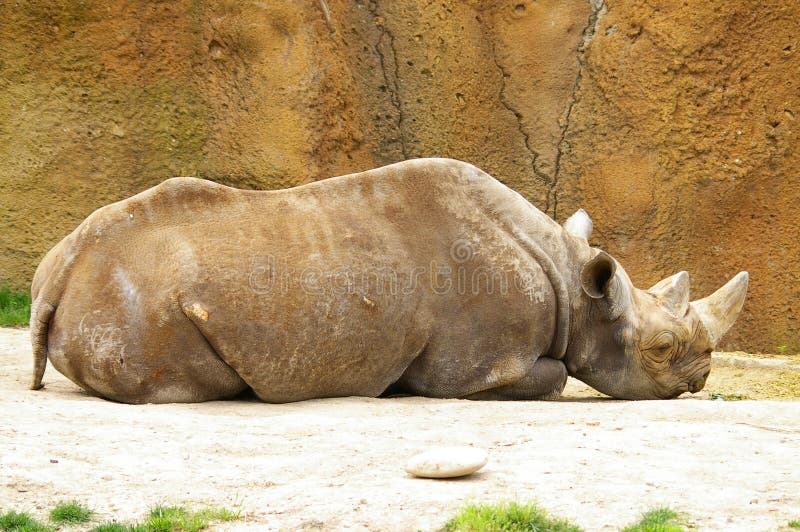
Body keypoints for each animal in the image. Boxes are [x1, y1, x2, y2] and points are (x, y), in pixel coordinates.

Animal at [30, 158, 748, 403]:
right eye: (659, 350)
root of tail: (58, 276)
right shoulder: (477, 367)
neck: (576, 286)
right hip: (134, 306)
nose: (702, 379)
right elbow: (554, 375)